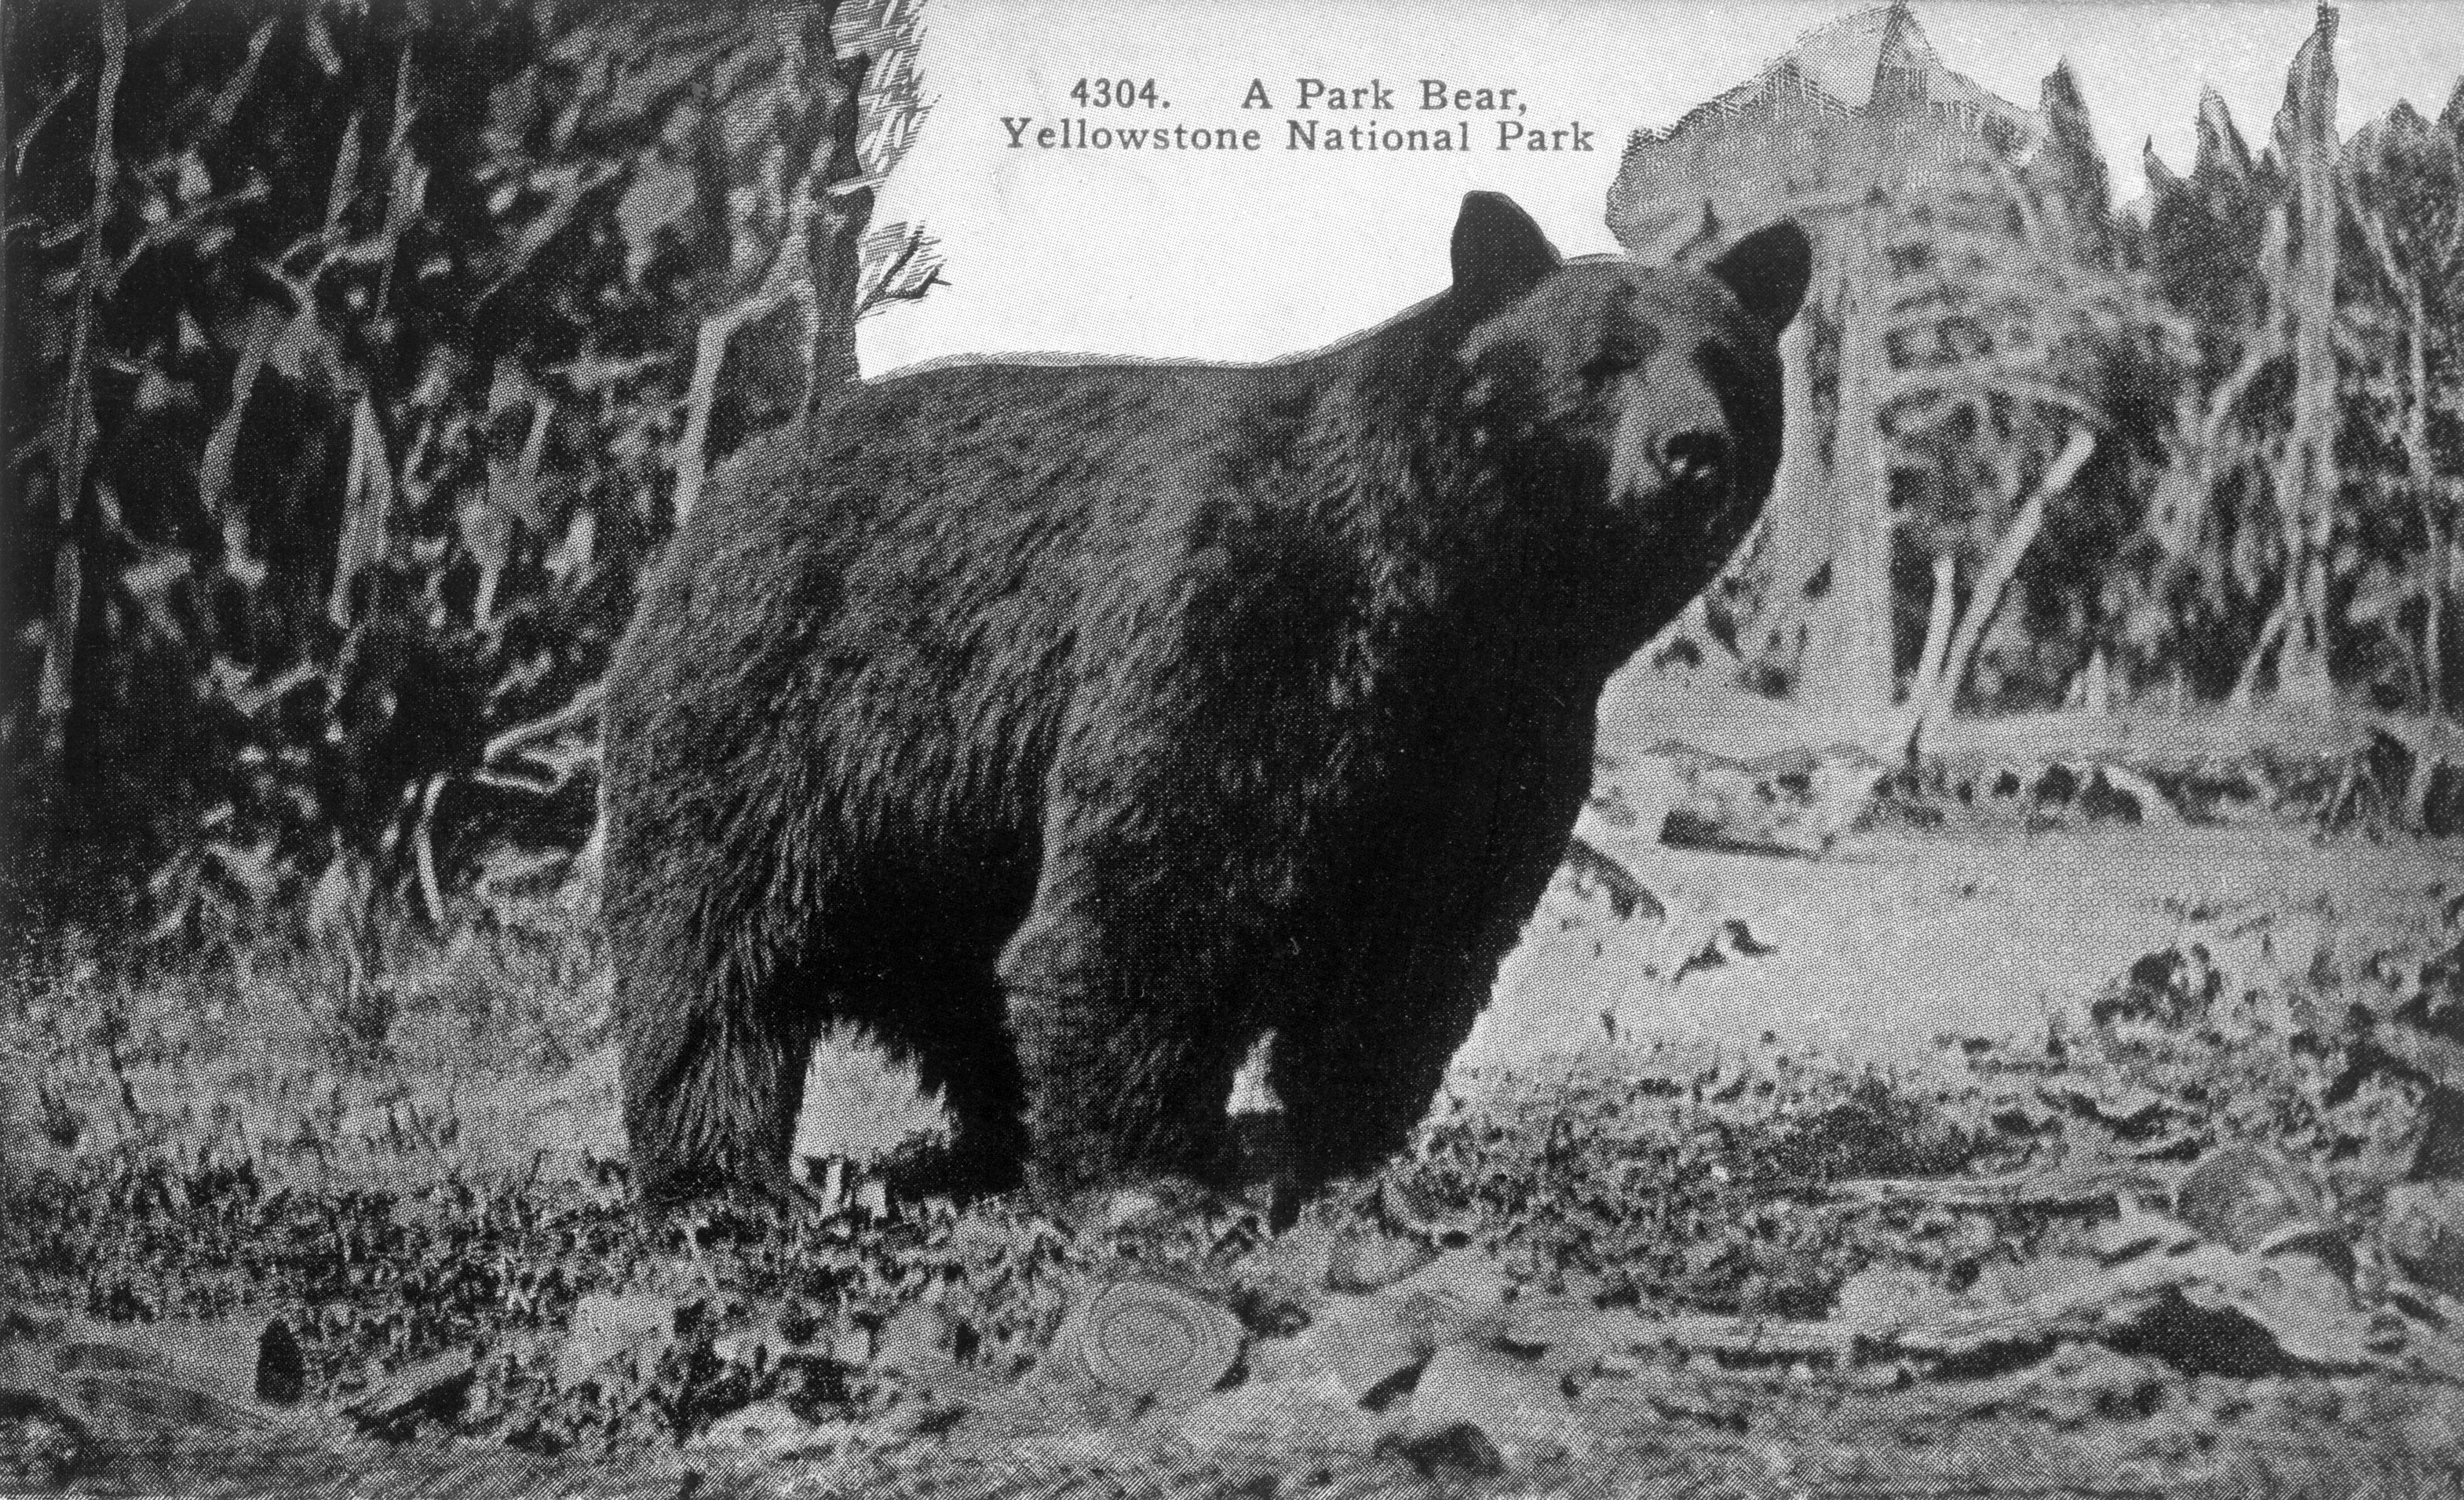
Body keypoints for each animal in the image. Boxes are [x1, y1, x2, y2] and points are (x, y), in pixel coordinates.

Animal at [601, 192, 1810, 1208]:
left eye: (1727, 362)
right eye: (1603, 363)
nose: (1692, 449)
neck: (1454, 597)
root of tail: (718, 494)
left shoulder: (1496, 729)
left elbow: (1421, 941)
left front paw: (1335, 1145)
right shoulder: (1230, 623)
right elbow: (1156, 882)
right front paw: (1143, 1175)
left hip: (941, 838)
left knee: (954, 984)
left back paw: (988, 1143)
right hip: (779, 715)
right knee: (714, 949)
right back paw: (718, 1175)